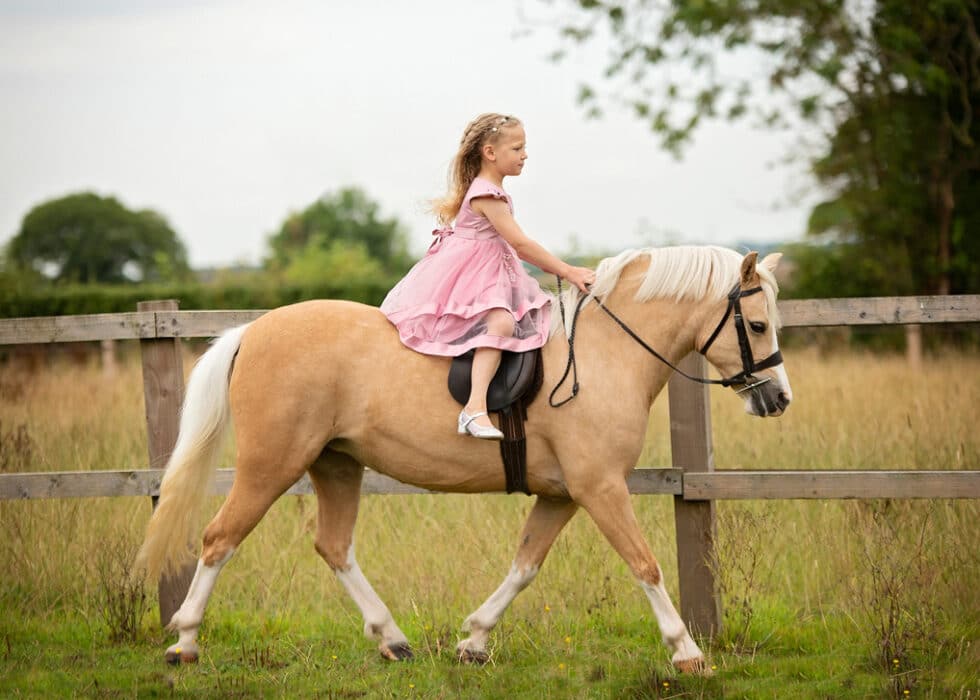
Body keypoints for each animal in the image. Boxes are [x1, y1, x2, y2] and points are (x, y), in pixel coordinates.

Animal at [136, 245, 792, 675]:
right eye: (757, 324)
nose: (778, 399)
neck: (606, 354)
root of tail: (253, 331)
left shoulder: (561, 495)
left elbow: (524, 567)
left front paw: (474, 641)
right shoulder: (599, 488)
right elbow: (646, 565)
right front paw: (687, 652)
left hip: (336, 464)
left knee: (334, 546)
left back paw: (393, 640)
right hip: (270, 466)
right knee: (219, 540)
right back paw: (184, 643)